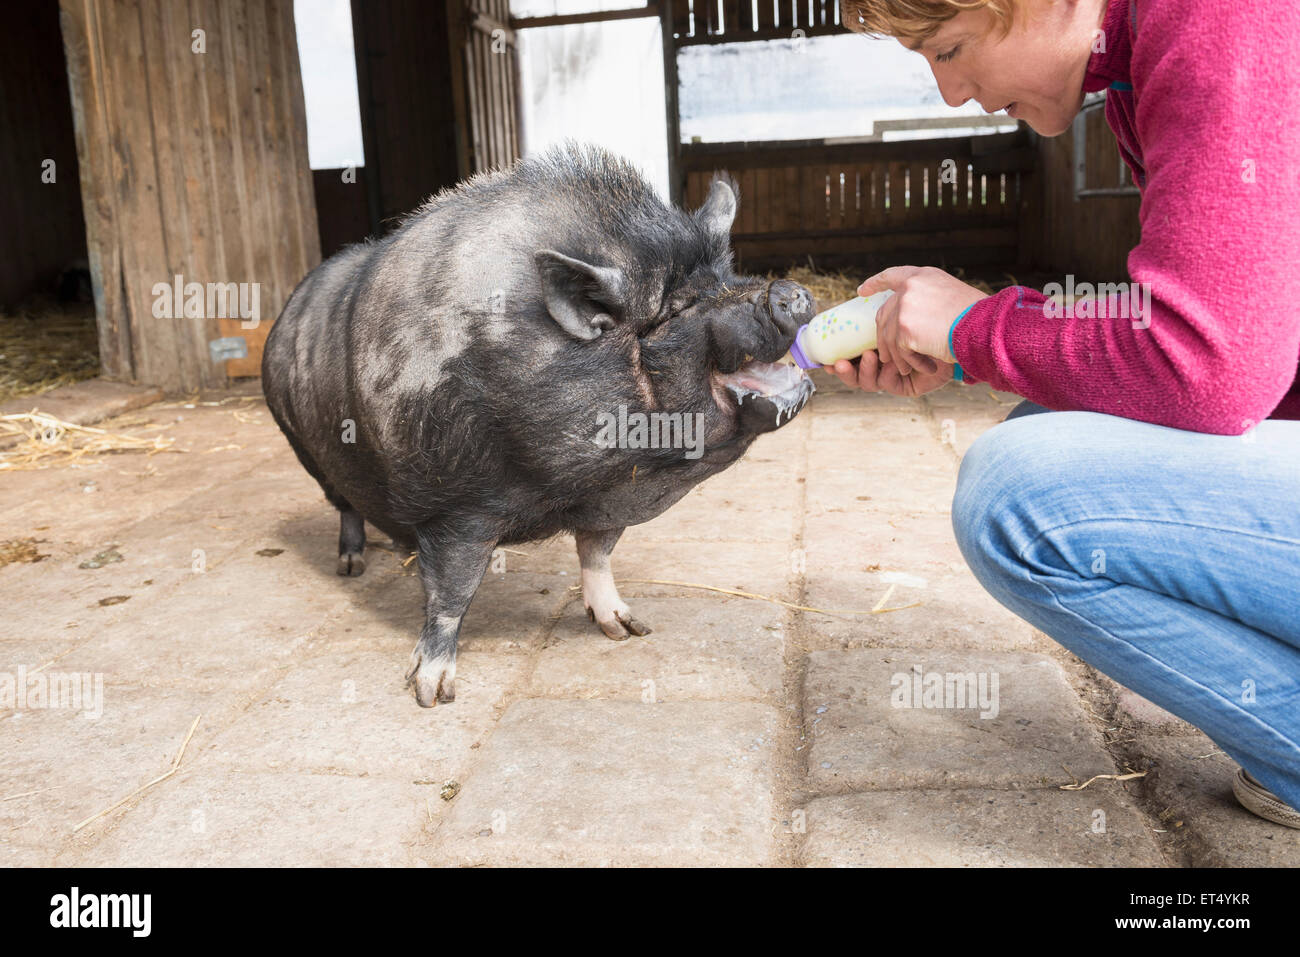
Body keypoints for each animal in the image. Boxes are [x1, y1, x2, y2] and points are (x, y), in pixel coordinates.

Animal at [262, 140, 815, 707]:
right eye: (677, 308)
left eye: (729, 279)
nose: (789, 291)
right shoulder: (456, 505)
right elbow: (450, 592)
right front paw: (432, 694)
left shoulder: (607, 502)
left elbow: (597, 553)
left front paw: (627, 630)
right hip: (306, 450)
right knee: (346, 506)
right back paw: (351, 567)